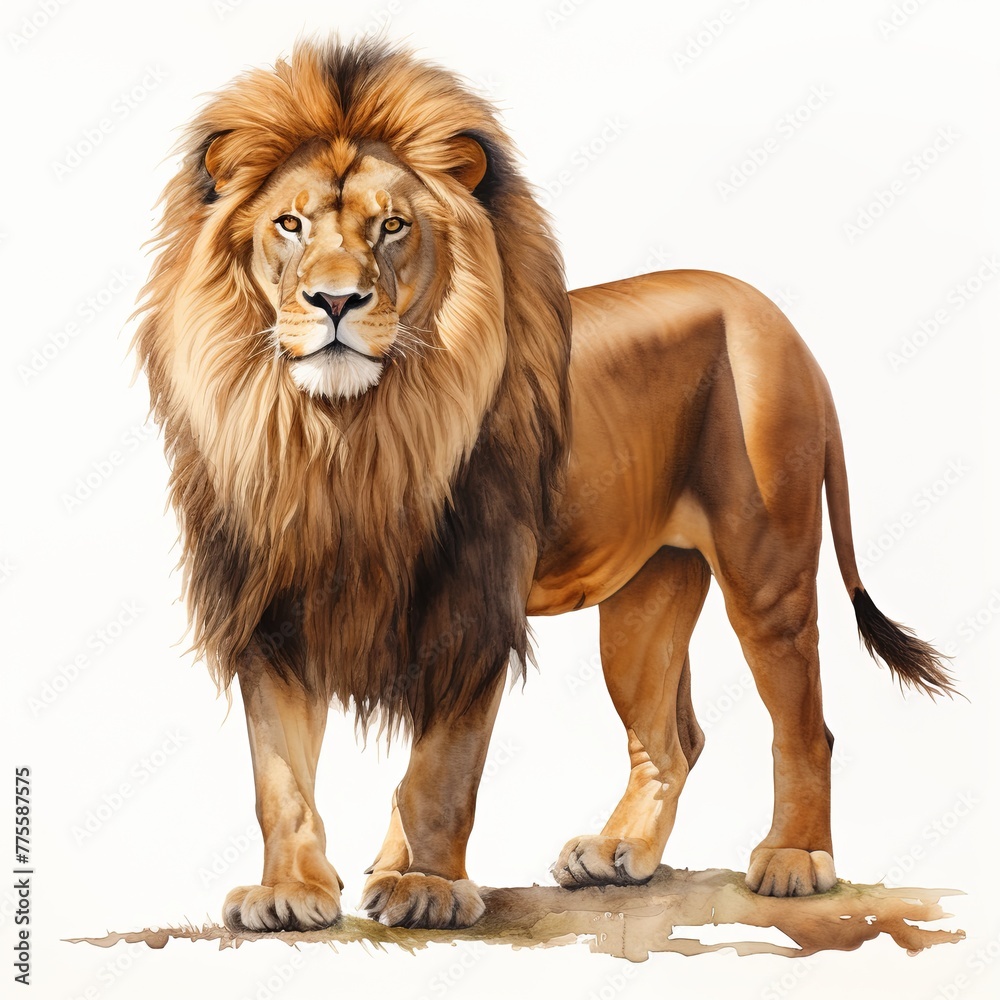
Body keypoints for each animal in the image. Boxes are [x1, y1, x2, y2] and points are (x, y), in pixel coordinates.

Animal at [134, 37, 954, 933]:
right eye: (291, 223)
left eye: (392, 227)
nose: (336, 300)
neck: (344, 438)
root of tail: (777, 318)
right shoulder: (269, 609)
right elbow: (279, 775)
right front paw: (292, 893)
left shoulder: (470, 605)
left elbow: (442, 768)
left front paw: (424, 884)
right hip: (643, 602)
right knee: (673, 738)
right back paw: (618, 853)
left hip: (767, 572)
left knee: (805, 723)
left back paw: (796, 859)